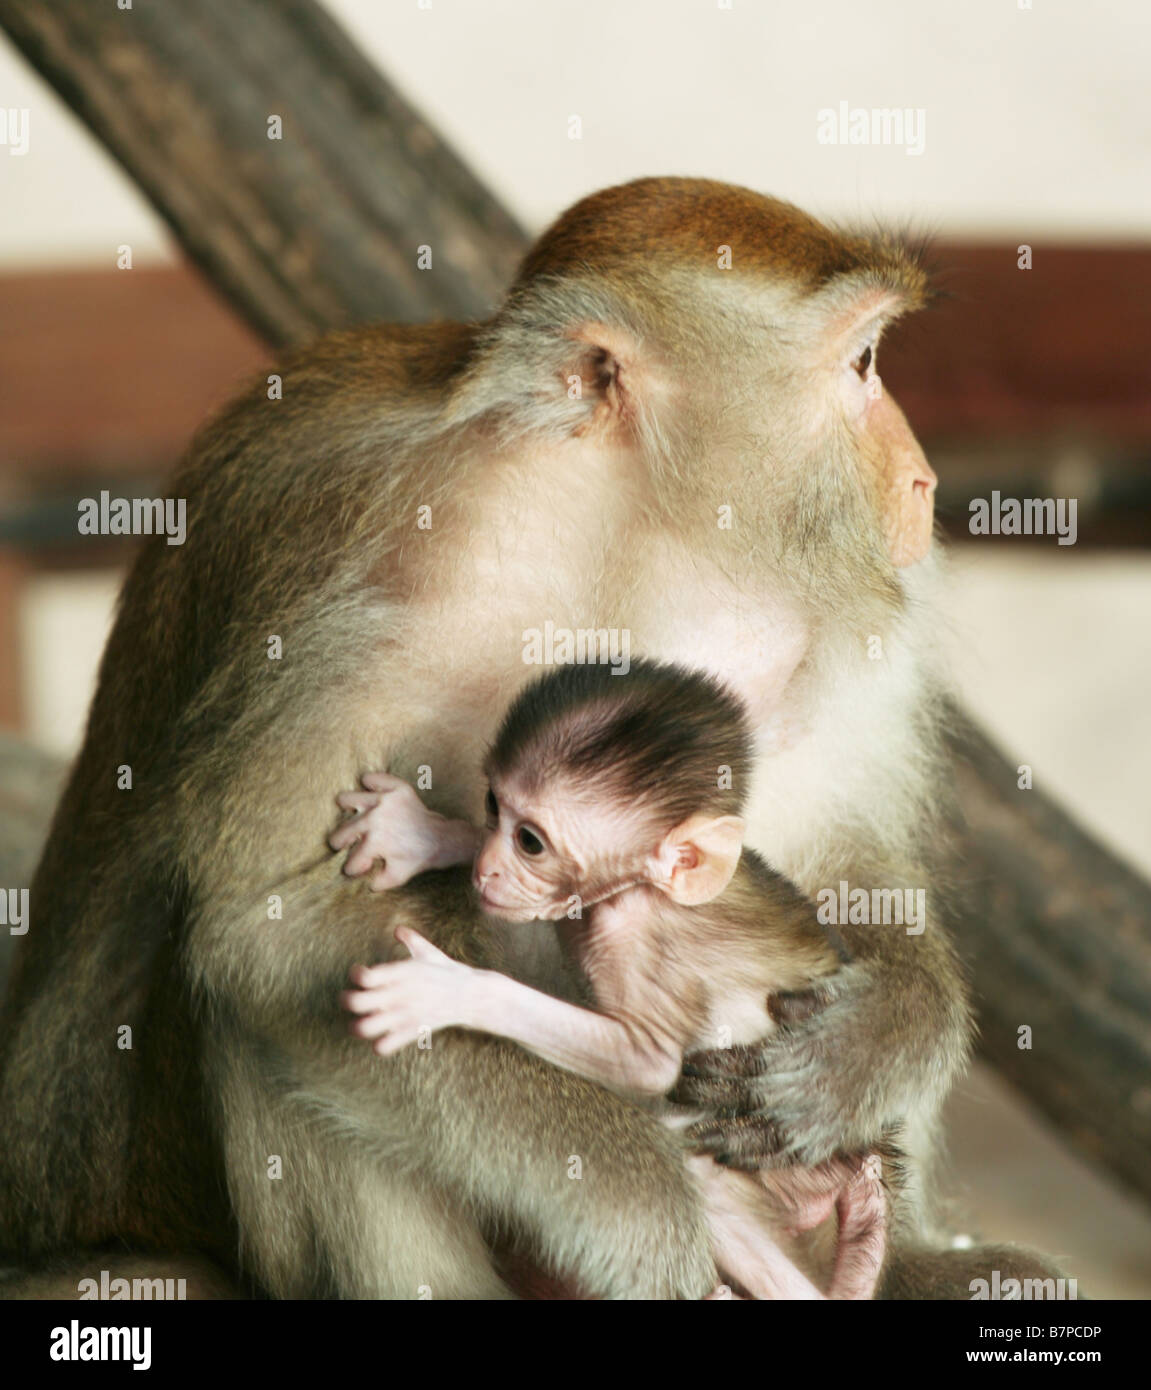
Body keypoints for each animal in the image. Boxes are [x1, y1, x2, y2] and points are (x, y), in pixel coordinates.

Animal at [331, 657, 895, 1300]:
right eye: (495, 808)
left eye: (531, 843)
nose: (489, 869)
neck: (631, 892)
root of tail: (867, 1154)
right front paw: (424, 834)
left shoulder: (642, 945)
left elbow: (647, 1062)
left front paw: (448, 991)